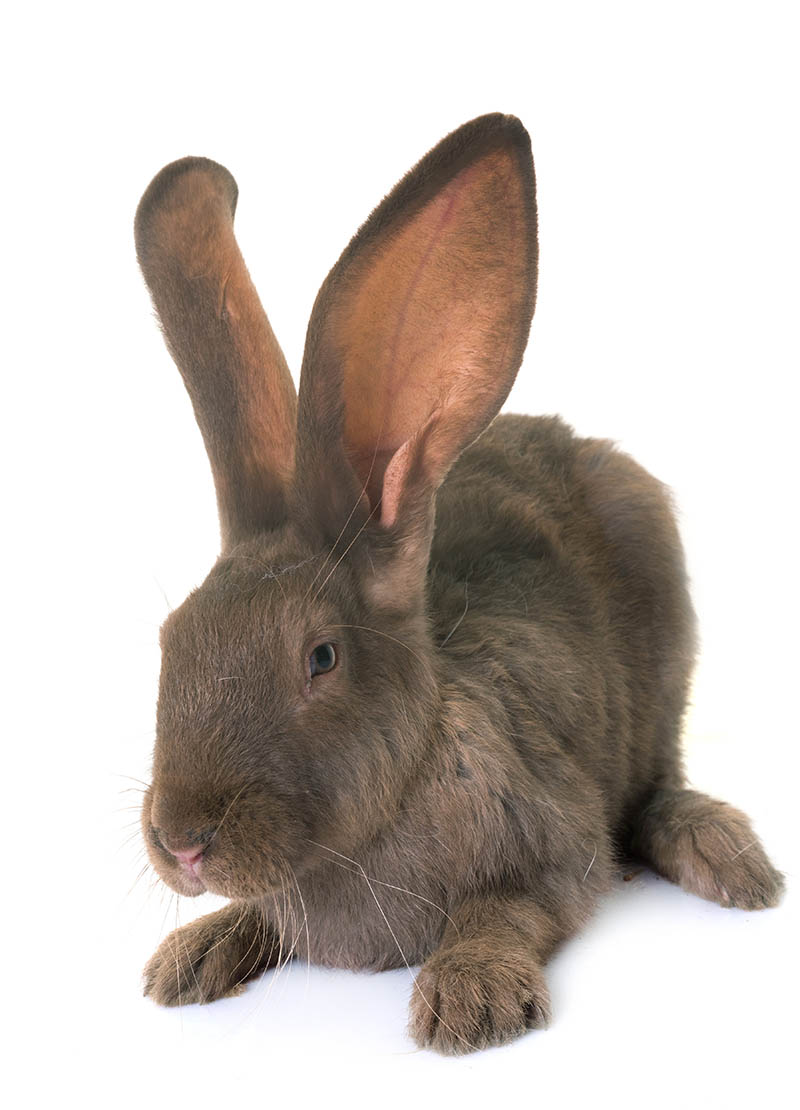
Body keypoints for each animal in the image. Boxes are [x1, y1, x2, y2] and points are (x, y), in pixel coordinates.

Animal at [134, 112, 784, 1054]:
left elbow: (505, 909)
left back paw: (724, 856)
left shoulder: (556, 847)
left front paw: (470, 1001)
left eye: (321, 657)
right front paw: (192, 956)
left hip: (664, 650)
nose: (181, 843)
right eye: (170, 641)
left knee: (658, 778)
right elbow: (263, 917)